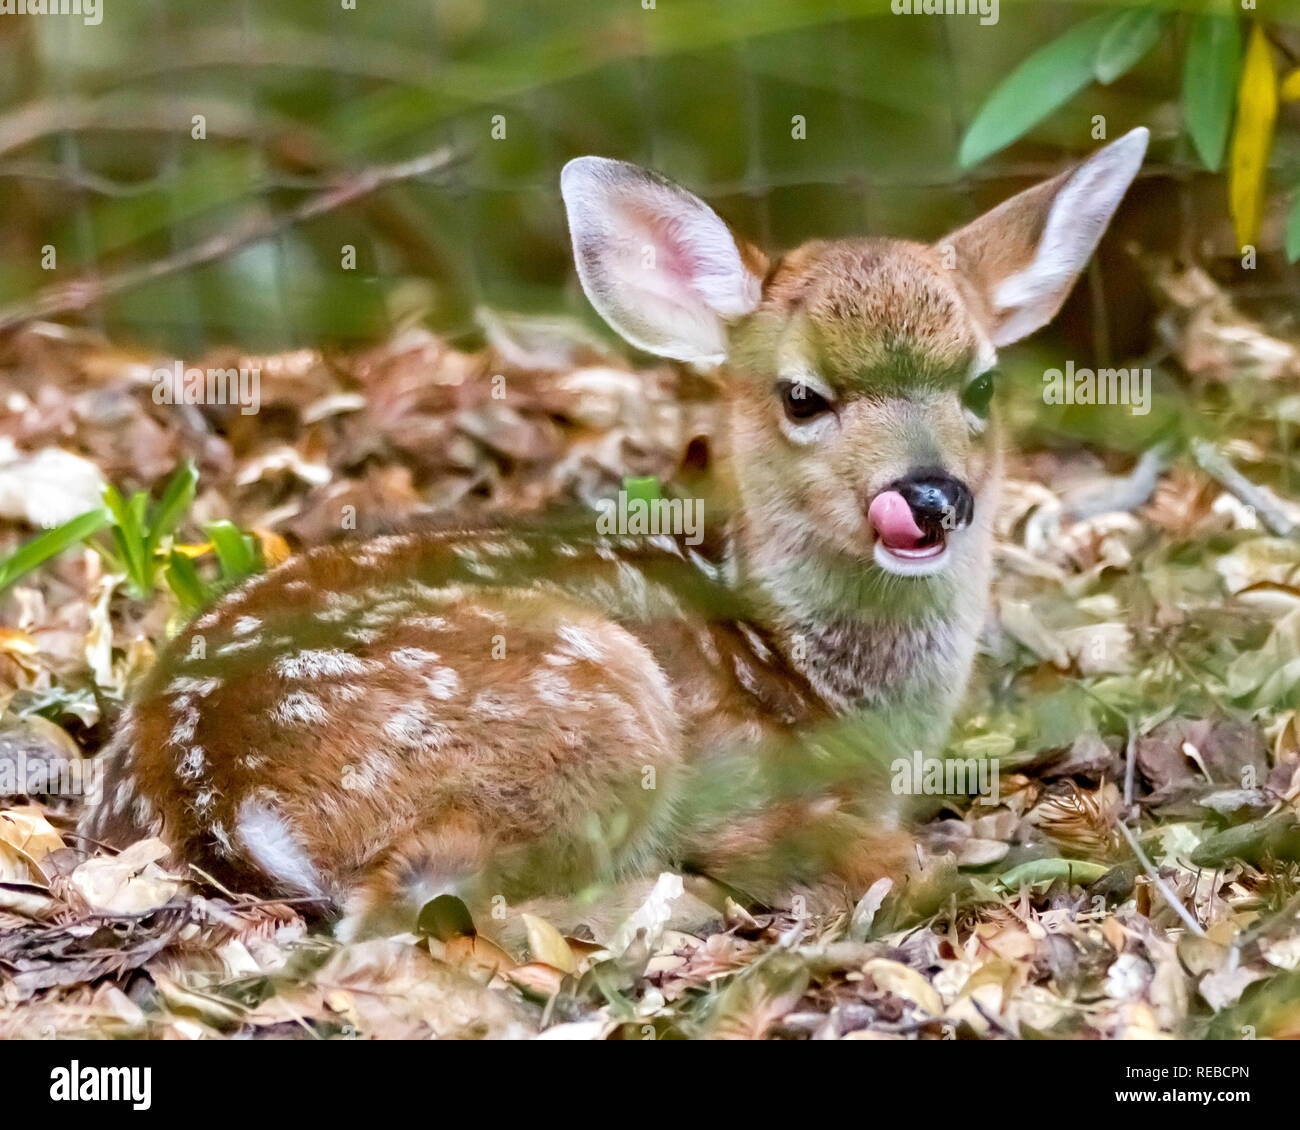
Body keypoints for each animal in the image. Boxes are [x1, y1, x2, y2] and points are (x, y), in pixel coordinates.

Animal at [80, 128, 1149, 941]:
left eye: (982, 384)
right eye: (803, 396)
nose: (930, 495)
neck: (817, 678)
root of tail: (216, 794)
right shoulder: (745, 774)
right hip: (601, 702)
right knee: (413, 899)